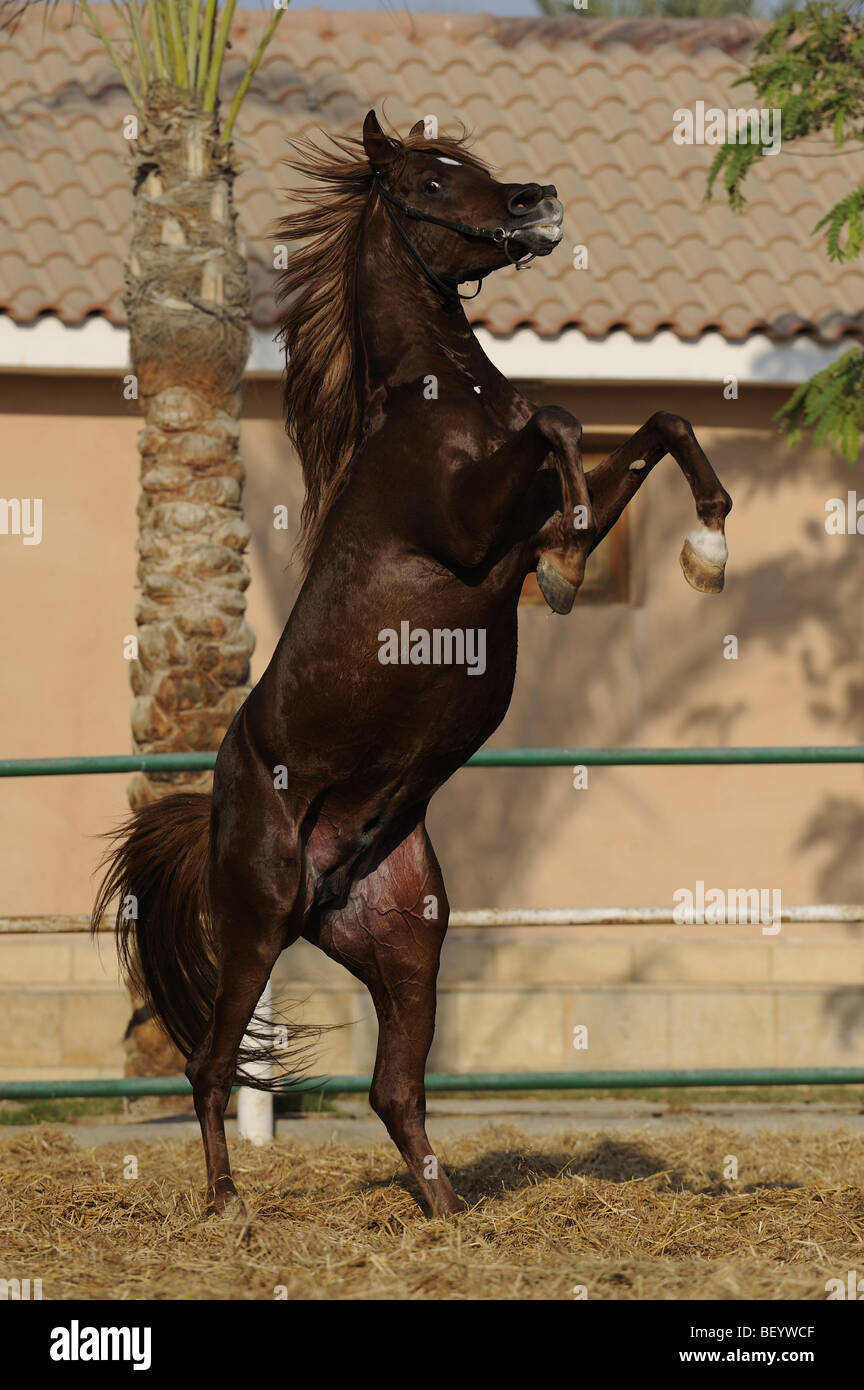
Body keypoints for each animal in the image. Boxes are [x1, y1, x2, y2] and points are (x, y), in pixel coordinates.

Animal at [94, 111, 732, 1221]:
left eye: (471, 166)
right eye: (433, 180)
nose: (538, 201)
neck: (433, 410)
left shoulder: (523, 528)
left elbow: (657, 425)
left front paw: (704, 544)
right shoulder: (473, 531)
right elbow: (561, 422)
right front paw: (597, 562)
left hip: (406, 936)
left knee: (394, 1088)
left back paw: (447, 1217)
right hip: (255, 926)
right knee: (209, 1066)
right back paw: (230, 1209)